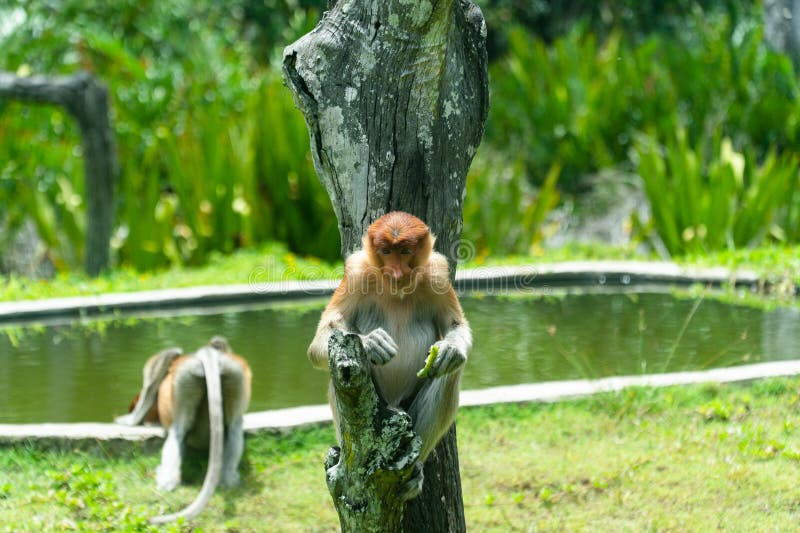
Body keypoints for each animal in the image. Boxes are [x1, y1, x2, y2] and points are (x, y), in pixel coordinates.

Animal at [116, 336, 252, 524]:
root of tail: (206, 356)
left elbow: (160, 368)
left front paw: (129, 420)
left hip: (185, 378)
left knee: (178, 431)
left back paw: (166, 481)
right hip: (232, 375)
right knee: (234, 428)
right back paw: (228, 480)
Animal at [308, 211, 472, 495]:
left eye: (405, 251)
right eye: (385, 251)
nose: (396, 273)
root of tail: (394, 407)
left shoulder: (437, 273)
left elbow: (455, 325)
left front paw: (450, 352)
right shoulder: (356, 273)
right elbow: (323, 334)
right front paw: (372, 343)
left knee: (449, 376)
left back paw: (415, 472)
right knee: (335, 373)